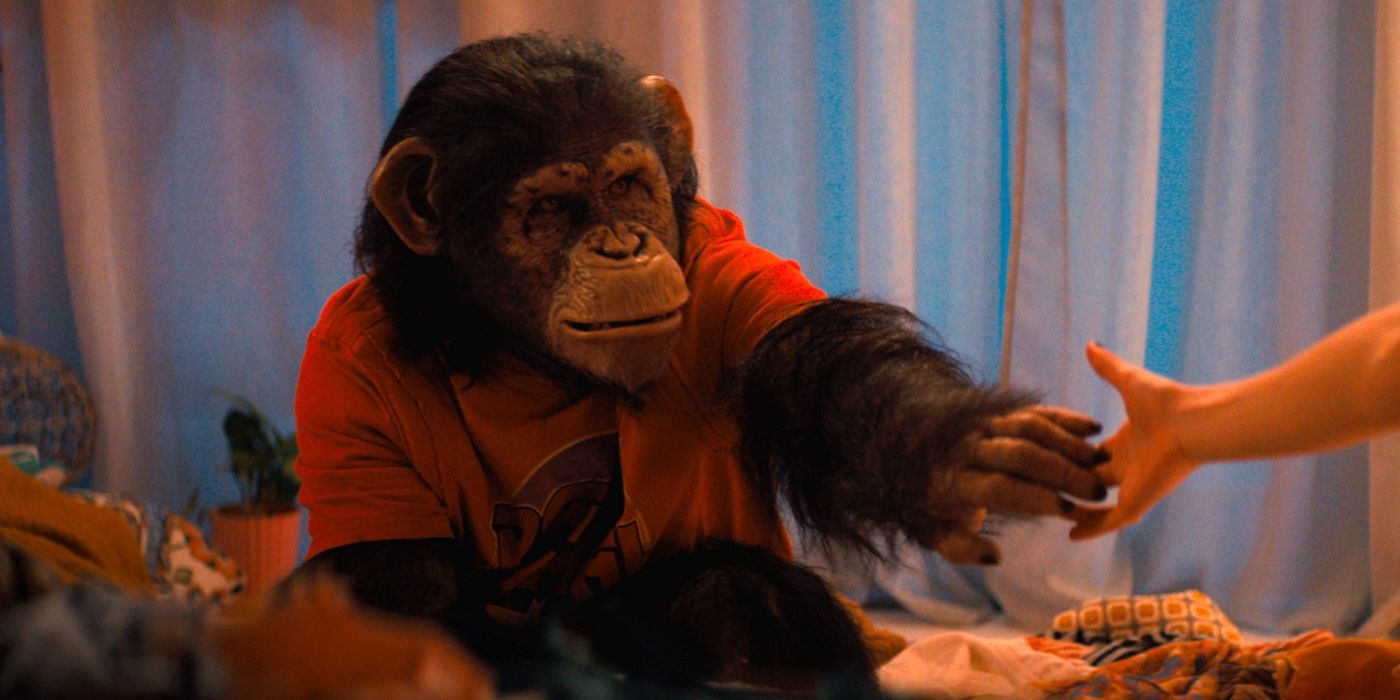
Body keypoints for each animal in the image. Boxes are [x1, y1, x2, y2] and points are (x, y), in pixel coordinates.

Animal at [290, 34, 1107, 691]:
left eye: (625, 185)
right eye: (551, 208)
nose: (622, 246)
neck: (524, 358)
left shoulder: (732, 274)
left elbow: (838, 378)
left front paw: (959, 457)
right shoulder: (344, 379)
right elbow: (404, 601)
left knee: (736, 590)